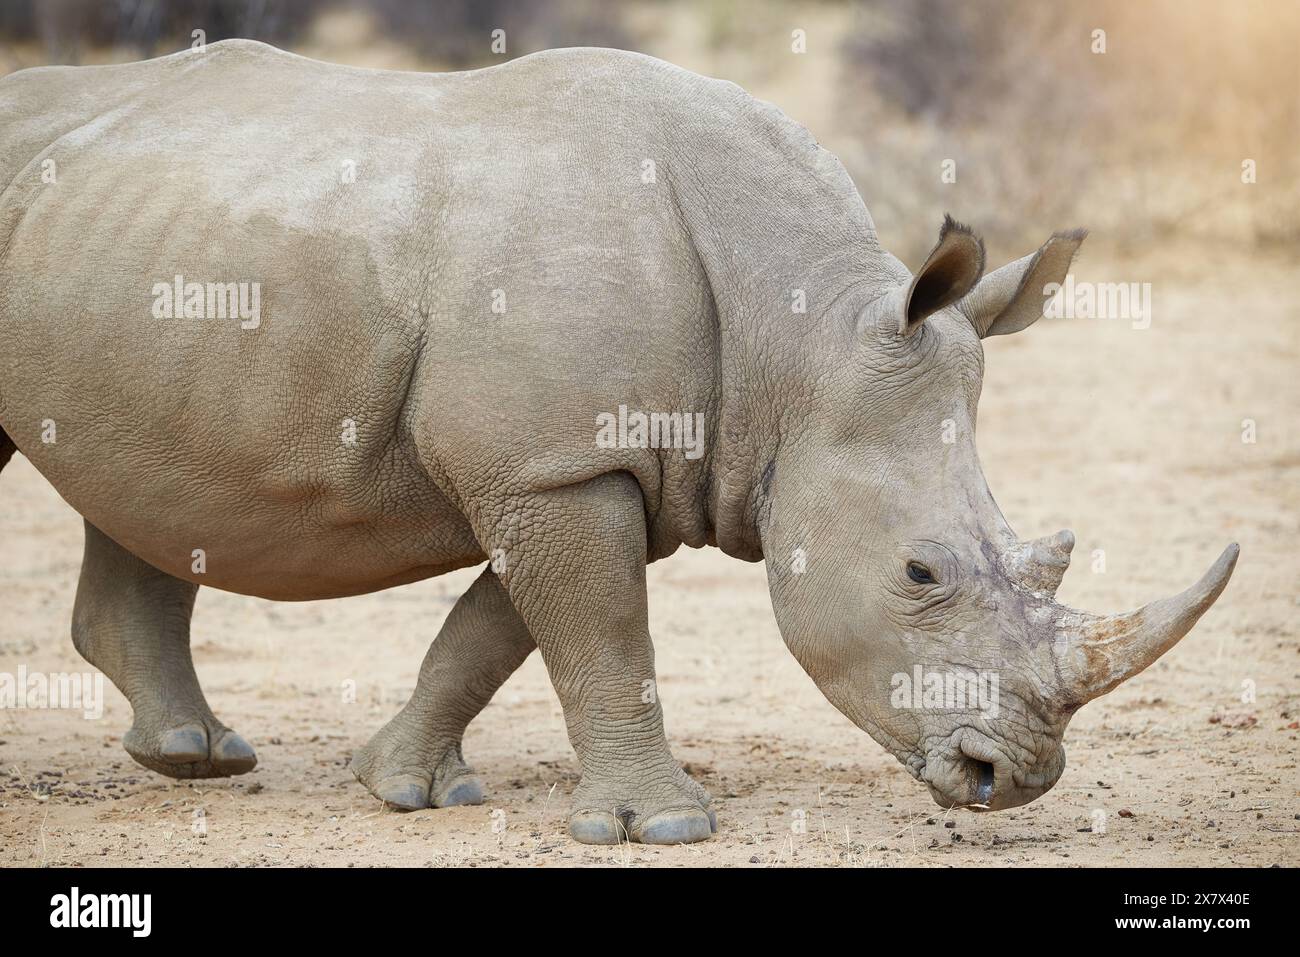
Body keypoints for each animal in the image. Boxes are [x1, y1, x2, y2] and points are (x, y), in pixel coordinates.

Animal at [0, 41, 1237, 845]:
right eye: (919, 573)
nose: (1012, 778)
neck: (799, 337)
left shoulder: (591, 463)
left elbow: (499, 631)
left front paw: (404, 788)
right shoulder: (555, 464)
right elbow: (599, 637)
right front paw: (665, 826)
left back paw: (192, 757)